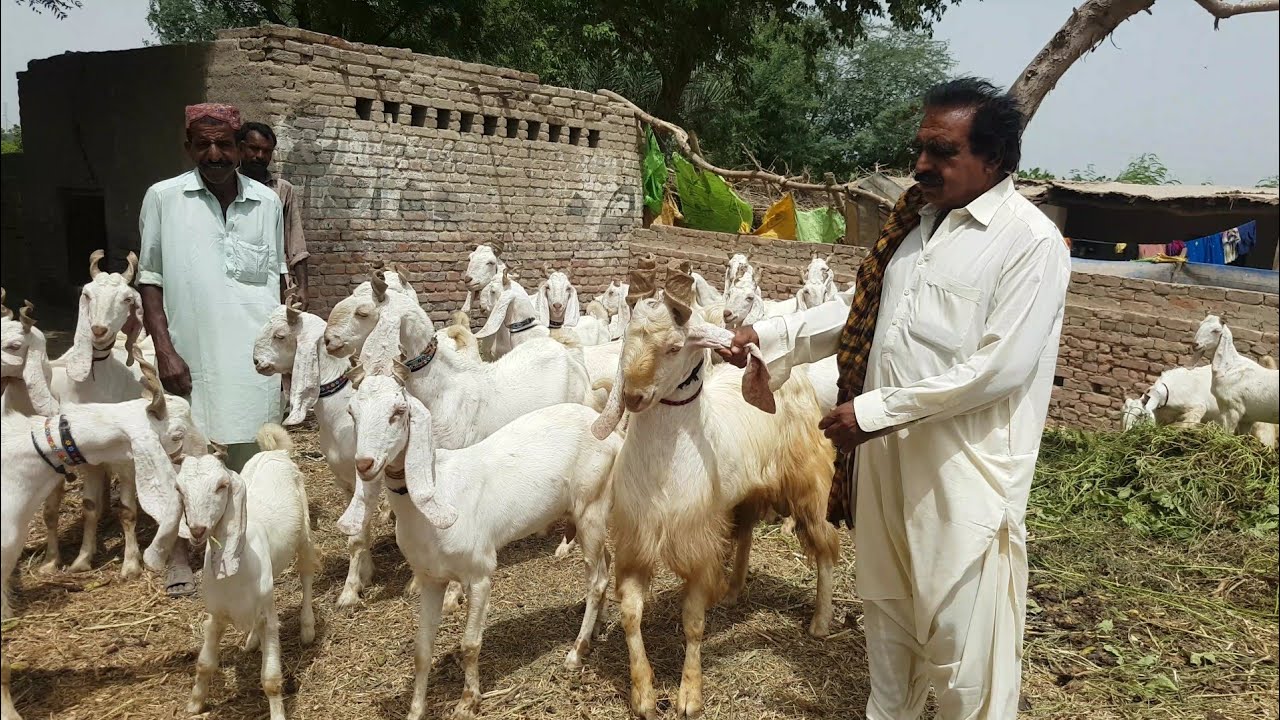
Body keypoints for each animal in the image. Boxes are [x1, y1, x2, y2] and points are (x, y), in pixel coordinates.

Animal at [178, 425, 316, 720]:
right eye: (179, 488)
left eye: (222, 485)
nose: (197, 530)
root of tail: (276, 451)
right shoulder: (216, 614)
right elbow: (204, 663)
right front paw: (195, 703)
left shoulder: (268, 618)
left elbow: (271, 680)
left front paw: (278, 714)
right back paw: (252, 640)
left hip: (305, 532)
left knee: (306, 574)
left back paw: (307, 627)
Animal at [339, 363, 619, 720]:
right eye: (352, 412)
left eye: (398, 412)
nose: (364, 464)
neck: (441, 490)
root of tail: (609, 431)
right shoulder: (431, 578)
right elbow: (422, 649)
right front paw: (416, 710)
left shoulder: (480, 573)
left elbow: (470, 644)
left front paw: (467, 701)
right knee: (605, 565)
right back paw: (597, 628)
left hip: (591, 507)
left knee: (596, 579)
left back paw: (576, 652)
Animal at [593, 258, 839, 719]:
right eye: (628, 340)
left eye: (675, 347)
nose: (633, 397)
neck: (664, 469)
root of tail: (794, 376)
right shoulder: (636, 541)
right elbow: (631, 616)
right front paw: (644, 695)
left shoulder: (695, 541)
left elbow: (693, 623)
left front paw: (689, 695)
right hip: (745, 493)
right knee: (745, 535)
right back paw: (734, 590)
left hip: (810, 483)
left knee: (825, 548)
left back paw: (820, 621)